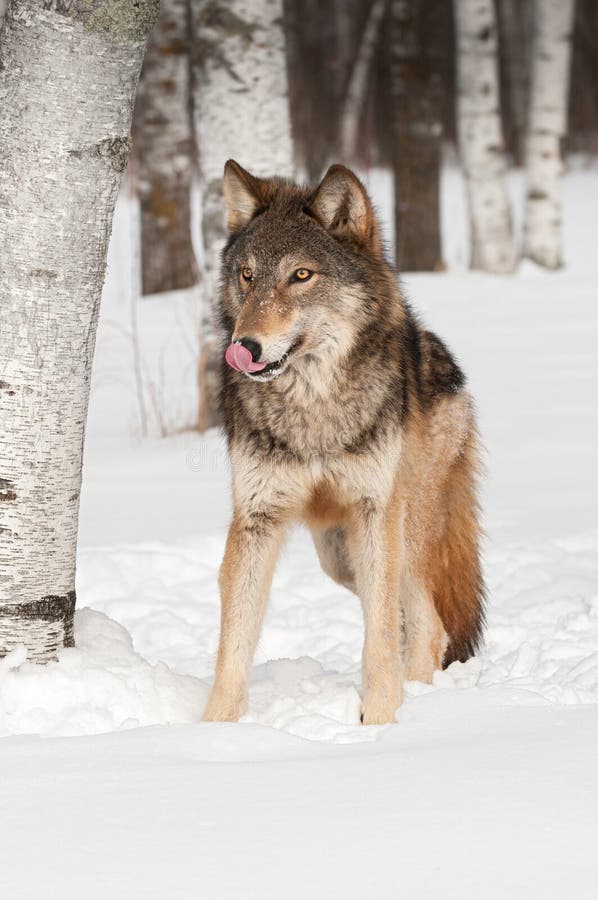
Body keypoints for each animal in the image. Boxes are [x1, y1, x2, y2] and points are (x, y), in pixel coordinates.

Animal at [203, 160, 485, 725]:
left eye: (301, 275)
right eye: (247, 276)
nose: (245, 347)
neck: (313, 408)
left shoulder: (374, 513)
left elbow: (378, 638)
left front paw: (379, 722)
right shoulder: (257, 517)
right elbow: (234, 642)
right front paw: (214, 728)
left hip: (401, 533)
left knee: (427, 623)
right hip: (340, 556)